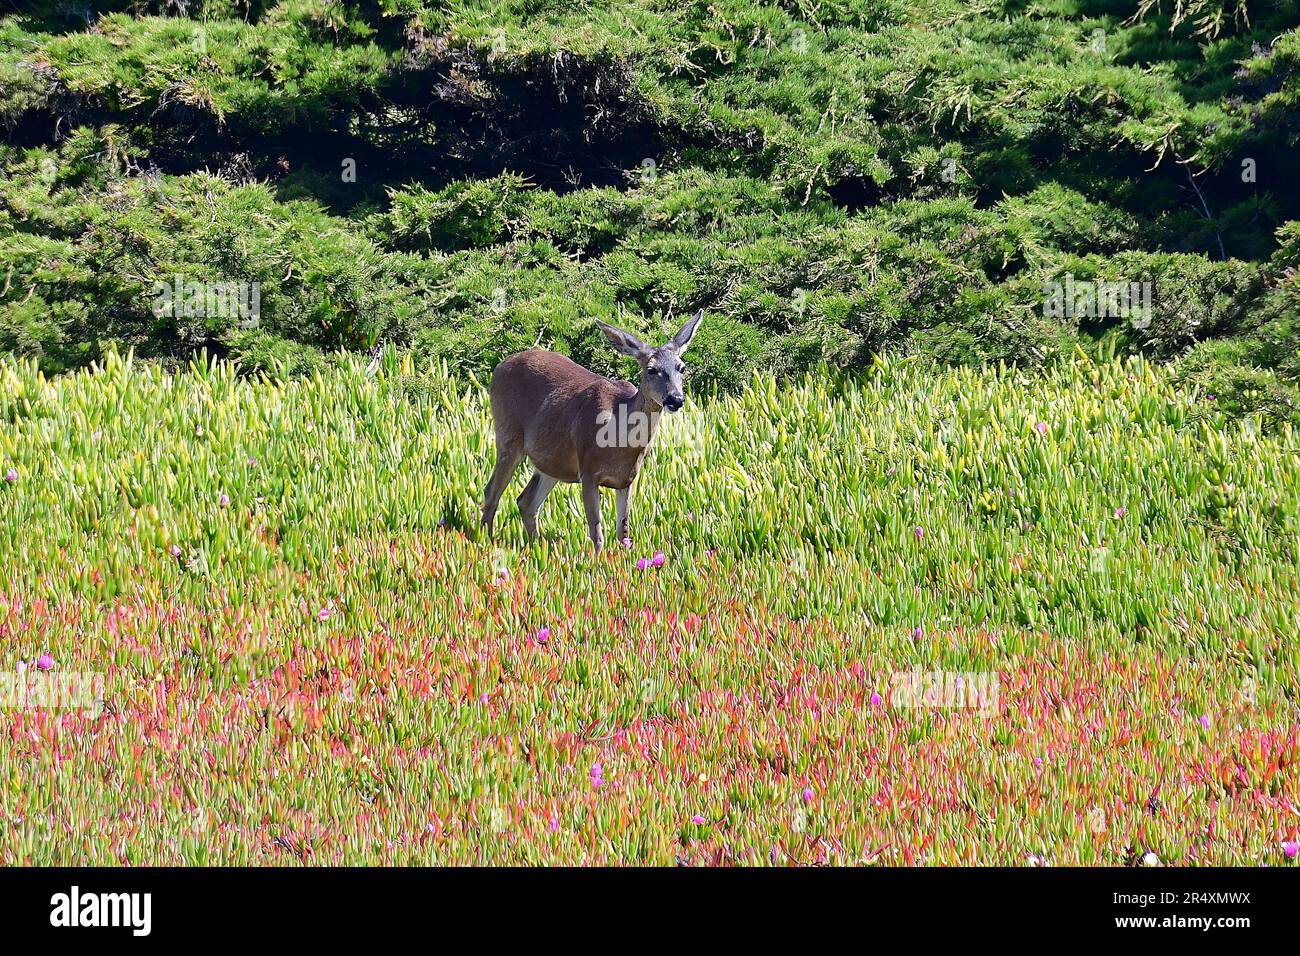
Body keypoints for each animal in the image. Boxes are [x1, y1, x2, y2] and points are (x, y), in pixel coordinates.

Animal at [480, 311, 703, 549]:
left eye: (681, 367)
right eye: (652, 369)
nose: (675, 399)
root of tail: (500, 366)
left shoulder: (628, 479)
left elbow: (623, 530)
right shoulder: (588, 471)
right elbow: (597, 533)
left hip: (552, 461)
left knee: (526, 502)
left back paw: (536, 546)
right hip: (508, 434)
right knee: (492, 492)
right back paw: (486, 542)